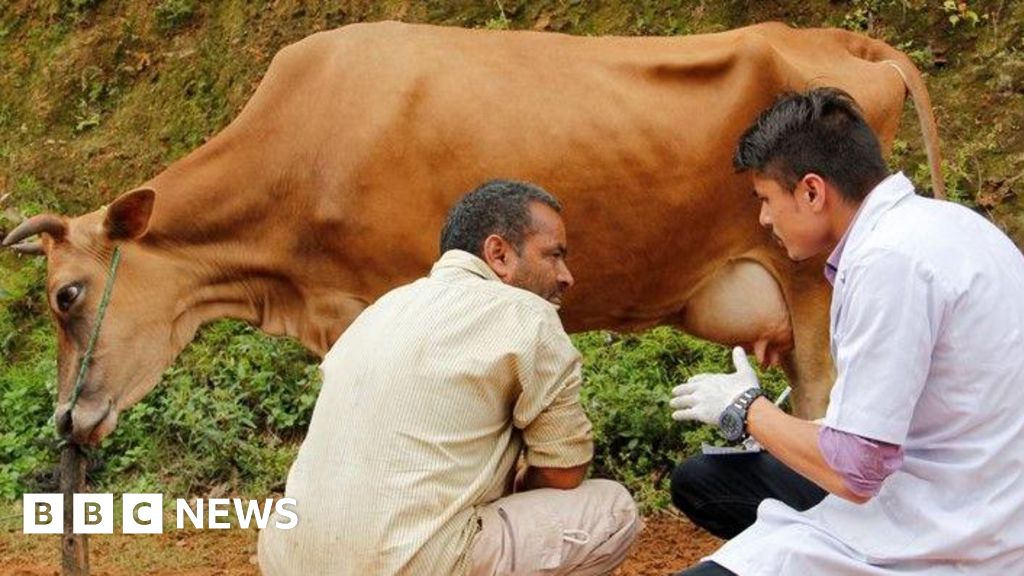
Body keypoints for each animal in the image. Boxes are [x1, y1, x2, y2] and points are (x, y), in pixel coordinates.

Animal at [2, 21, 943, 446]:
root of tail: (826, 36)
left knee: (825, 413)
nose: (64, 419)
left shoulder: (377, 299)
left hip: (816, 285)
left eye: (67, 295)